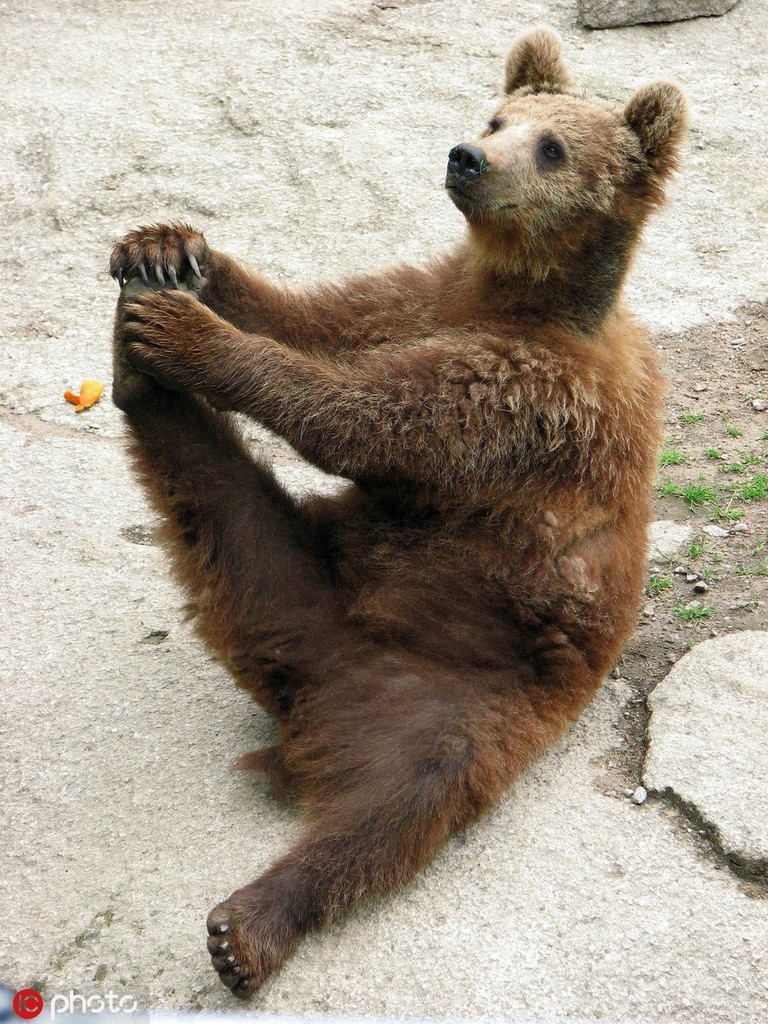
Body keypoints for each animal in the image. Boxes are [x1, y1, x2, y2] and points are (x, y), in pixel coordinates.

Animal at [108, 27, 686, 999]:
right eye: (497, 118)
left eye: (552, 146)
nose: (466, 156)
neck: (512, 296)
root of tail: (316, 694)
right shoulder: (414, 298)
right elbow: (310, 318)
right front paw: (169, 247)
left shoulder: (531, 400)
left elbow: (369, 420)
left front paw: (193, 332)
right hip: (294, 567)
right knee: (219, 501)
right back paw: (135, 365)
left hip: (468, 705)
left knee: (394, 811)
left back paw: (248, 928)